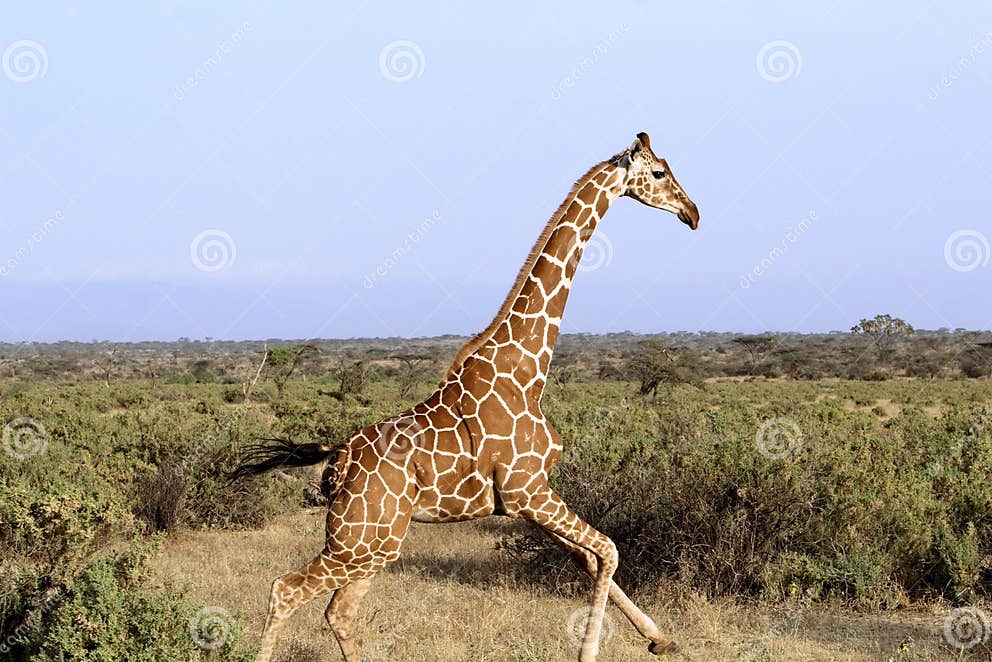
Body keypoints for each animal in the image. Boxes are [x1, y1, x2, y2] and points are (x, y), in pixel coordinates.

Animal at [231, 132, 699, 662]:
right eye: (659, 172)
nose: (692, 212)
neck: (528, 369)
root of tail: (338, 459)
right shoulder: (528, 490)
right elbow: (609, 550)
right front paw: (596, 652)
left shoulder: (522, 501)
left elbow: (590, 559)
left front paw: (662, 638)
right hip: (360, 542)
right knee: (285, 589)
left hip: (372, 542)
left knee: (338, 612)